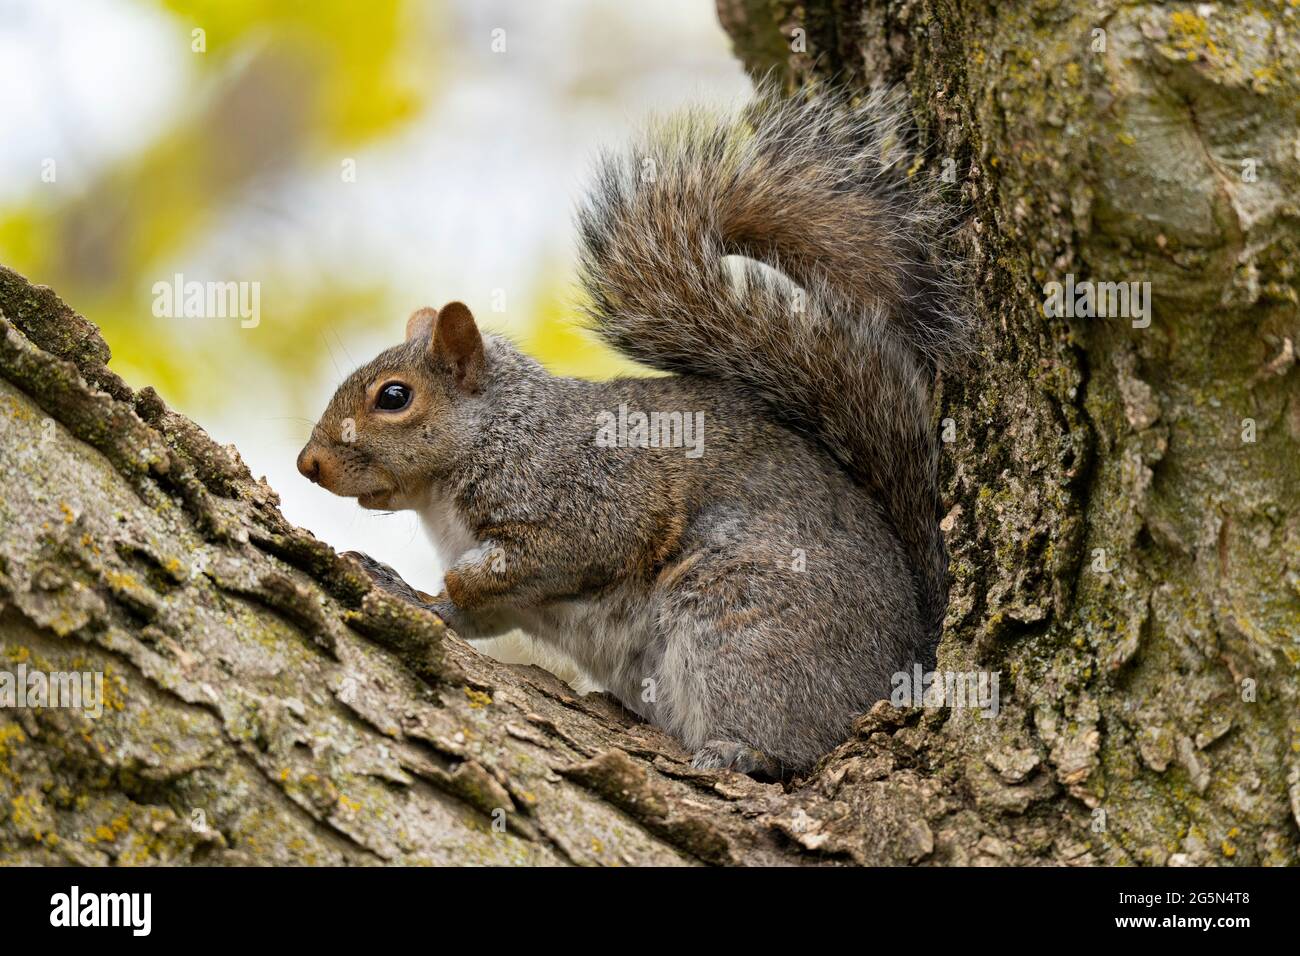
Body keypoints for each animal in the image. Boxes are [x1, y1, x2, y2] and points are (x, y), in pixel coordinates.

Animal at [296, 84, 968, 777]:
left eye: (394, 397)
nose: (307, 464)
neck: (493, 436)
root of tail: (908, 660)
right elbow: (470, 616)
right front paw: (409, 594)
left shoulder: (590, 495)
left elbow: (567, 550)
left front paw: (460, 577)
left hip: (742, 625)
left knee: (801, 738)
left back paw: (742, 752)